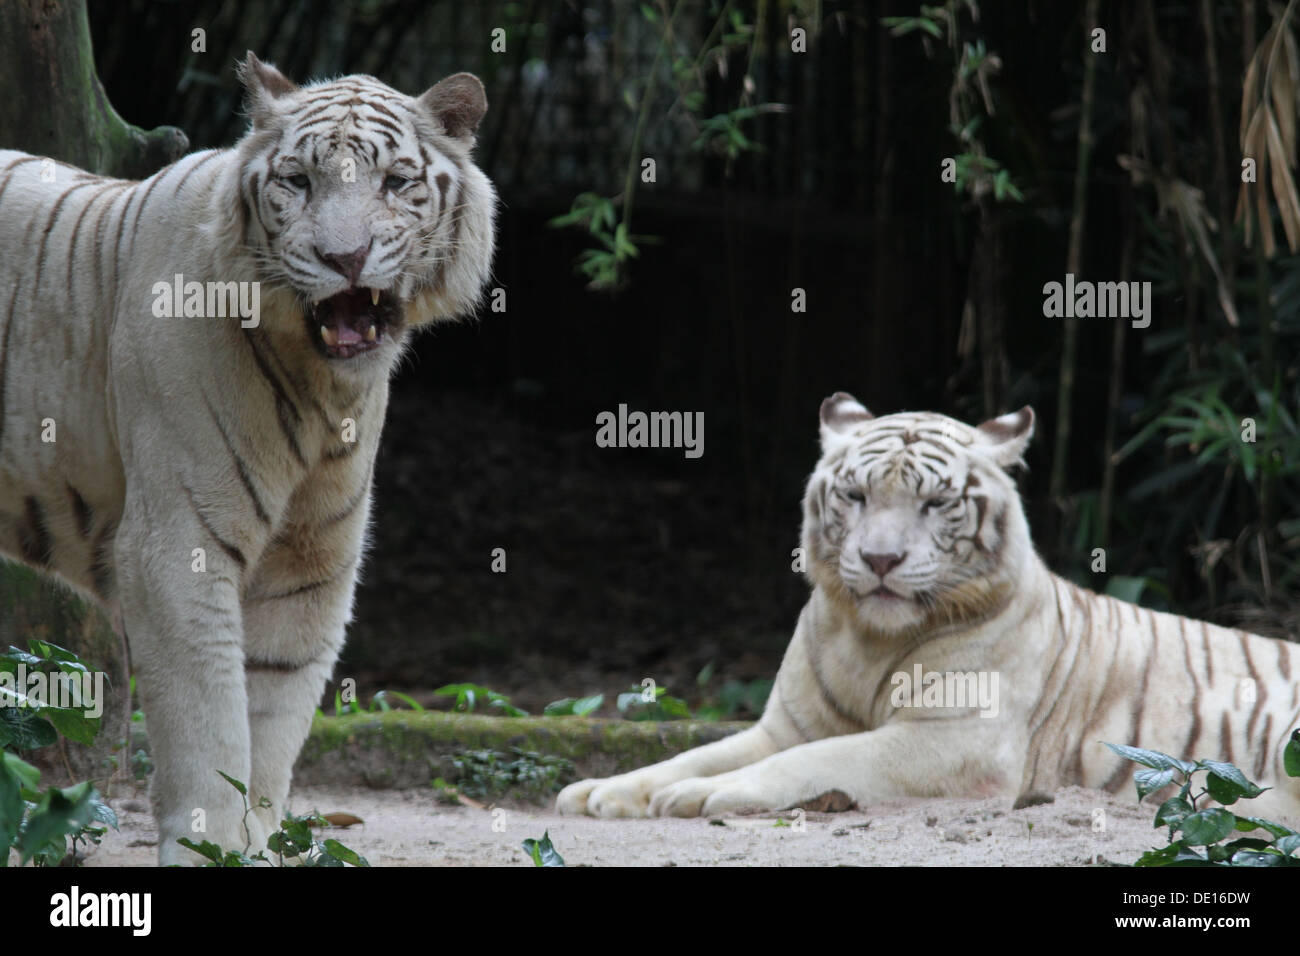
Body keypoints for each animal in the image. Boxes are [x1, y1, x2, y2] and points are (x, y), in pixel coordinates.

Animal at [0, 52, 495, 864]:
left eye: (396, 183)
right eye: (297, 181)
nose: (343, 257)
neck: (322, 390)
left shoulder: (309, 563)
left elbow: (273, 715)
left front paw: (258, 840)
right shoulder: (176, 545)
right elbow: (210, 719)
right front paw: (207, 844)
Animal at [558, 392, 1300, 823]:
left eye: (936, 502)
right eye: (855, 495)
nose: (881, 559)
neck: (866, 639)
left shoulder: (953, 739)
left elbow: (806, 762)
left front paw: (701, 798)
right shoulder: (785, 725)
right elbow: (692, 755)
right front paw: (602, 792)